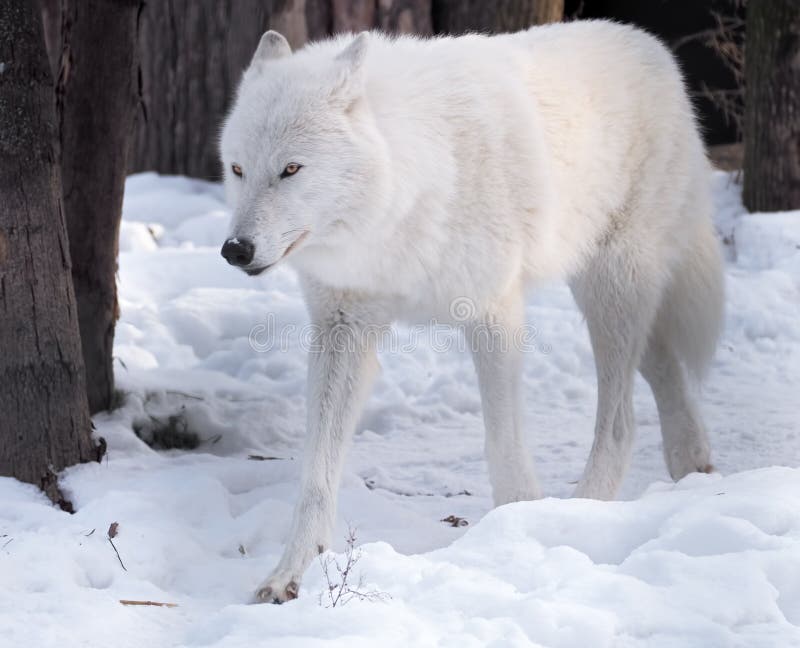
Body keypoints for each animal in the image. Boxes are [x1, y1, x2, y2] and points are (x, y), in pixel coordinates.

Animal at [219, 21, 724, 603]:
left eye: (291, 169)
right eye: (237, 169)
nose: (235, 250)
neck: (411, 188)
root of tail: (651, 45)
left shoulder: (492, 311)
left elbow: (502, 445)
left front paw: (518, 526)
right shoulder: (343, 328)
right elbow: (317, 474)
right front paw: (291, 573)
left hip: (609, 288)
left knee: (619, 422)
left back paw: (585, 507)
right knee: (662, 367)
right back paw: (693, 465)